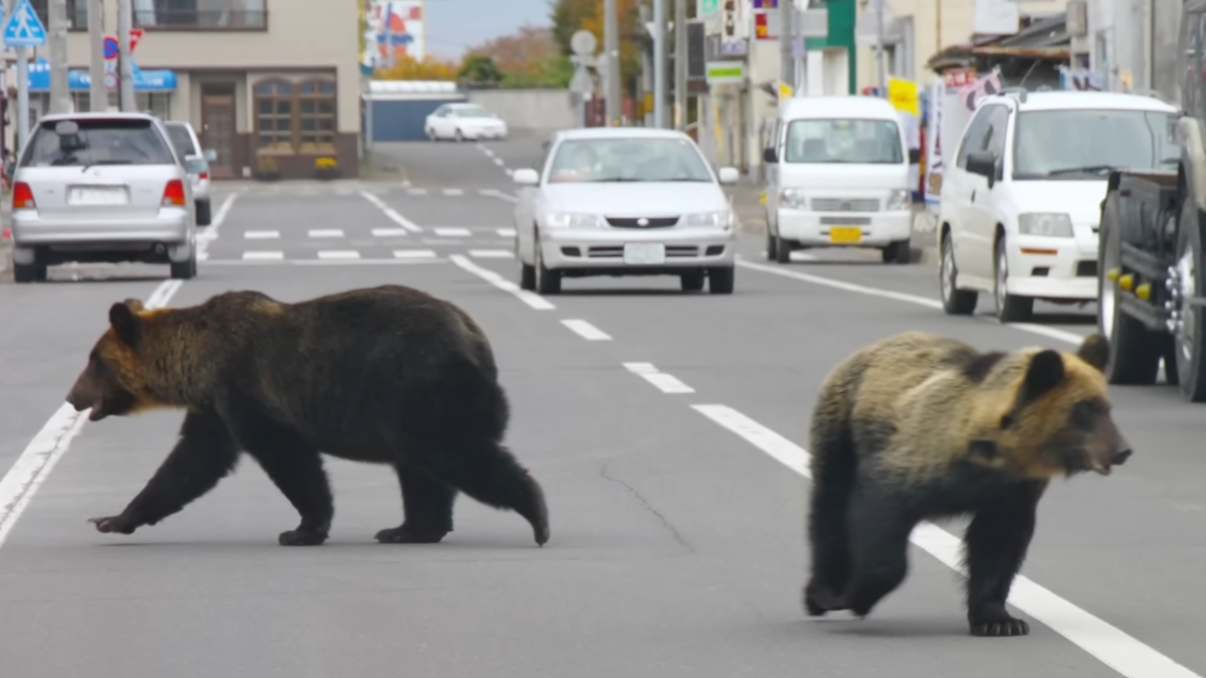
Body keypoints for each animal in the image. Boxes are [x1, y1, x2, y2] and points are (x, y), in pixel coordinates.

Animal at [64, 285, 550, 548]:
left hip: (418, 387)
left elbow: (287, 459)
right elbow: (189, 463)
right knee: (421, 469)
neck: (196, 363)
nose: (71, 396)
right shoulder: (215, 407)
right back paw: (407, 528)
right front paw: (112, 518)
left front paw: (302, 529)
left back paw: (537, 515)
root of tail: (476, 339)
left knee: (452, 453)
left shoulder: (245, 390)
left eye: (94, 362)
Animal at [801, 330, 1131, 637]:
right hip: (842, 426)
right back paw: (822, 592)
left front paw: (1000, 620)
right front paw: (855, 596)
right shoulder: (914, 460)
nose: (1122, 450)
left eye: (1107, 407)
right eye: (1084, 408)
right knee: (829, 503)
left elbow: (997, 545)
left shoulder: (1012, 492)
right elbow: (879, 516)